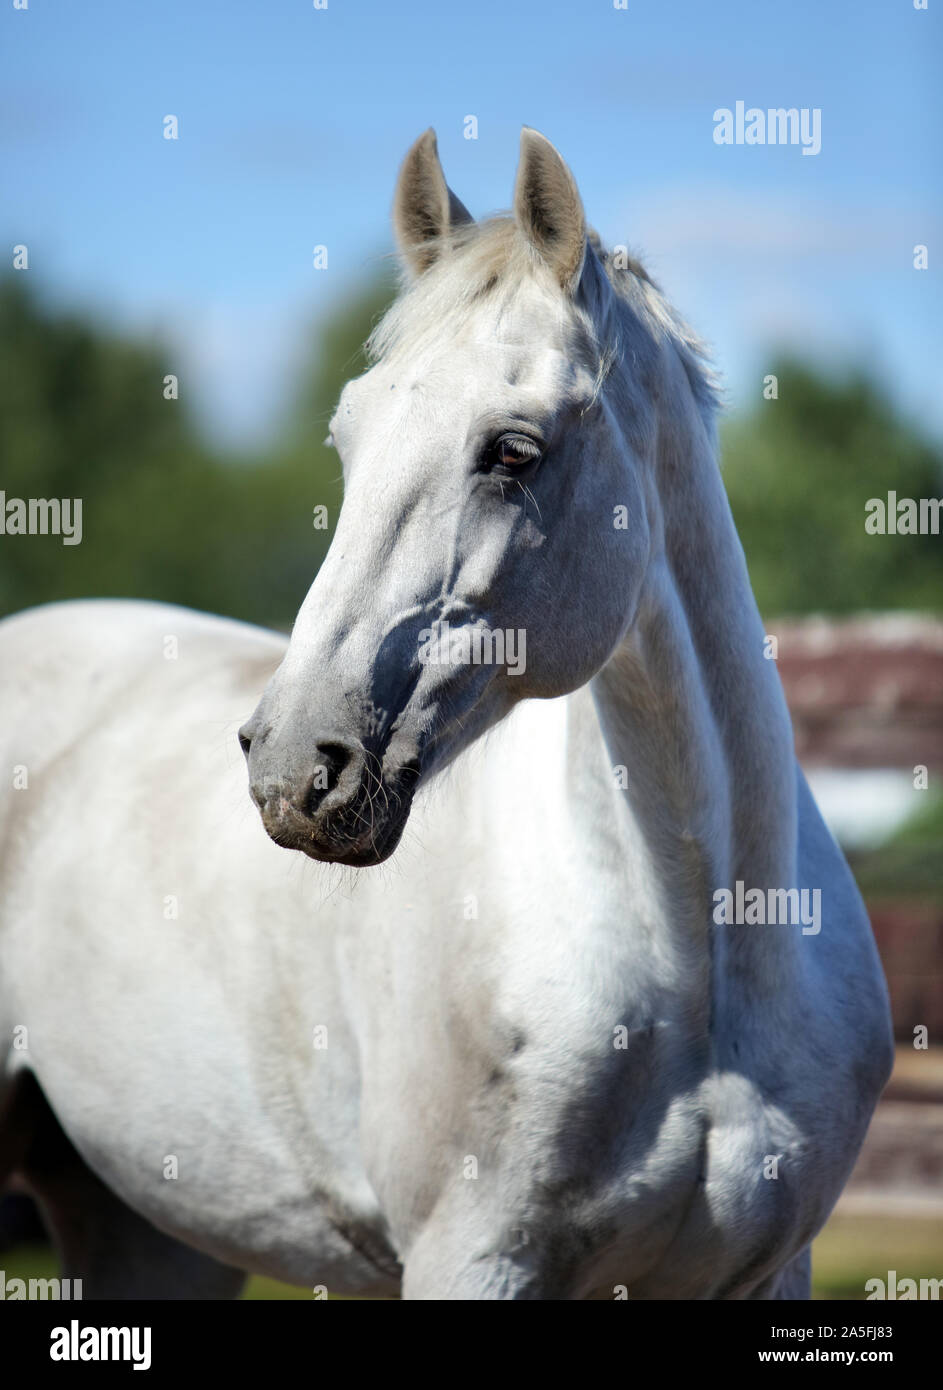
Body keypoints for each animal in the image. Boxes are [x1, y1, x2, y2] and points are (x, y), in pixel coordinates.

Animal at [0, 128, 893, 1299]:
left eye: (513, 449)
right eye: (347, 437)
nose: (294, 766)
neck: (705, 950)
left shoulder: (768, 1270)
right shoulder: (473, 1259)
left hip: (144, 1227)